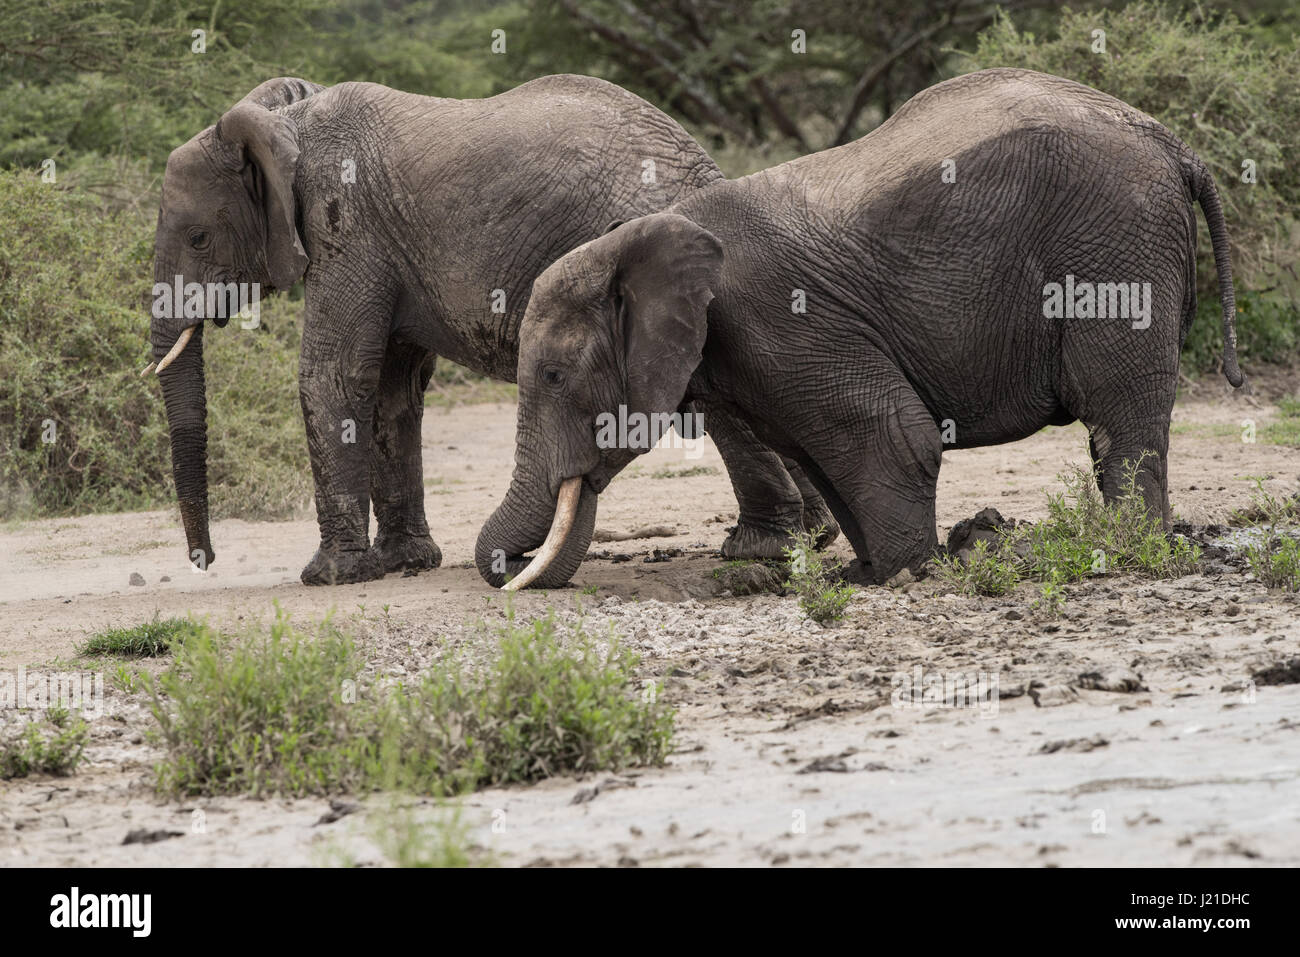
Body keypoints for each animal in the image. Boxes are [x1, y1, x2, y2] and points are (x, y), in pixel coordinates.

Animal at [145, 74, 837, 585]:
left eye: (198, 237)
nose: (204, 561)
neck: (287, 124)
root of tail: (706, 170)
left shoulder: (348, 227)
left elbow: (334, 374)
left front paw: (332, 576)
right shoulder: (384, 247)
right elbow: (393, 390)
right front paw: (405, 564)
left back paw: (760, 548)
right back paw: (814, 536)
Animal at [476, 68, 1244, 590]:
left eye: (553, 375)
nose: (512, 565)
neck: (648, 237)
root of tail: (1174, 145)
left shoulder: (782, 317)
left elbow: (893, 435)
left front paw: (906, 573)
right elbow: (826, 453)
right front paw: (869, 573)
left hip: (1117, 249)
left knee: (1118, 414)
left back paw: (1124, 547)